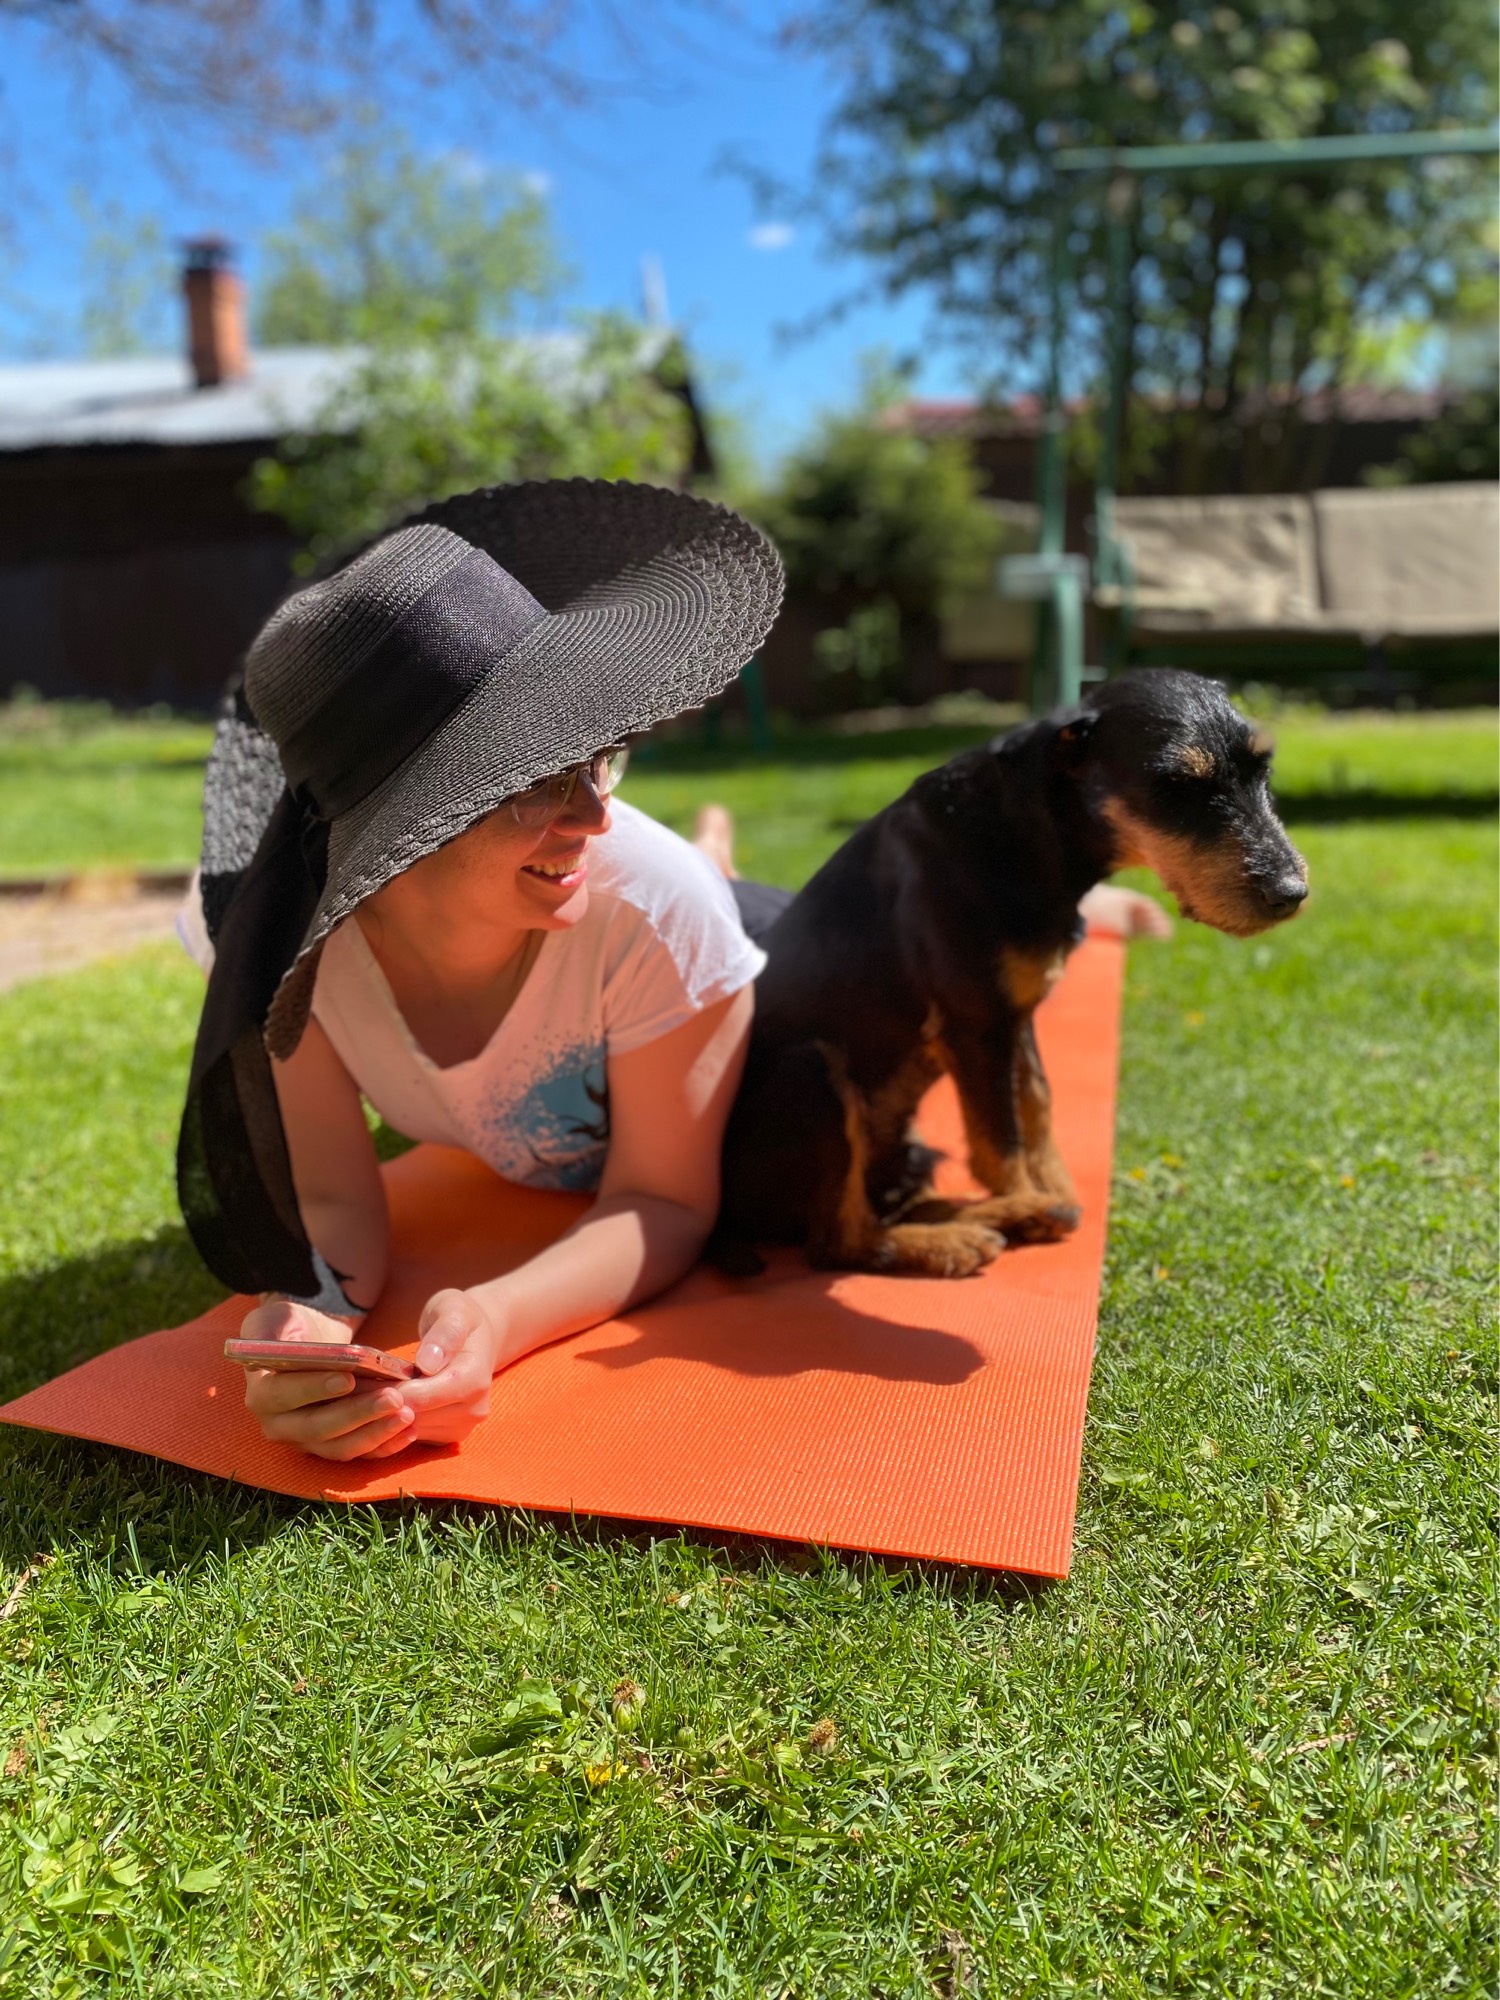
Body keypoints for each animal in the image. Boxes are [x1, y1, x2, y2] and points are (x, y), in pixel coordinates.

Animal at [724, 664, 1312, 1272]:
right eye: (1176, 785)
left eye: (1264, 772)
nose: (1292, 893)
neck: (1025, 836)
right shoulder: (975, 1026)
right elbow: (1000, 1143)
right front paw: (1031, 1195)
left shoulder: (1017, 1014)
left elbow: (1038, 1105)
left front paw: (1056, 1190)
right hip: (812, 1070)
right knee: (840, 1241)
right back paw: (972, 1233)